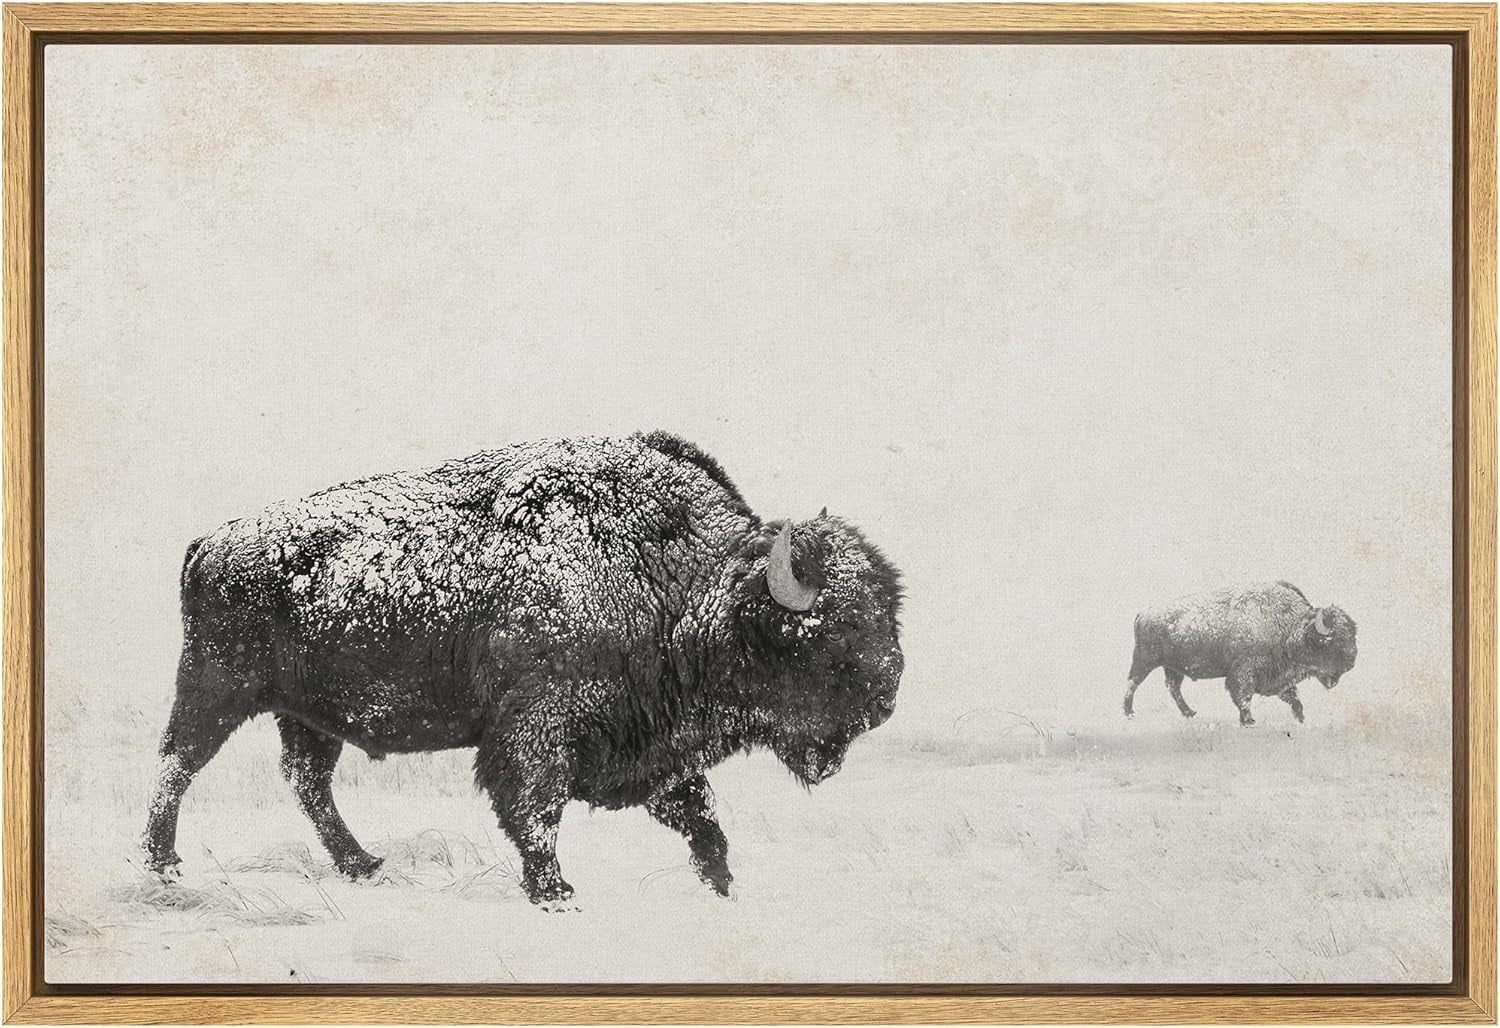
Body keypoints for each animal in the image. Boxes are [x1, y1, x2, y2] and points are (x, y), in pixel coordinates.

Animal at [143, 431, 904, 907]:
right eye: (831, 632)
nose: (886, 698)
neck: (680, 581)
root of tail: (210, 542)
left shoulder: (654, 746)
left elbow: (700, 818)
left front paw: (723, 888)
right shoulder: (537, 730)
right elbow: (537, 811)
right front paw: (555, 893)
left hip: (307, 716)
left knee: (307, 783)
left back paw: (363, 865)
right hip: (216, 690)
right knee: (177, 766)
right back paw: (163, 865)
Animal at [1122, 581, 1356, 726]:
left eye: (1352, 635)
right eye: (1330, 641)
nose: (1351, 662)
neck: (1290, 628)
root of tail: (1143, 613)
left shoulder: (1280, 678)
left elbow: (1294, 699)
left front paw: (1300, 719)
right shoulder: (1244, 673)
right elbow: (1243, 697)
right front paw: (1249, 721)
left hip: (1173, 667)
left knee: (1173, 688)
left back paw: (1190, 713)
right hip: (1145, 661)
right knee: (1132, 683)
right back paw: (1129, 713)